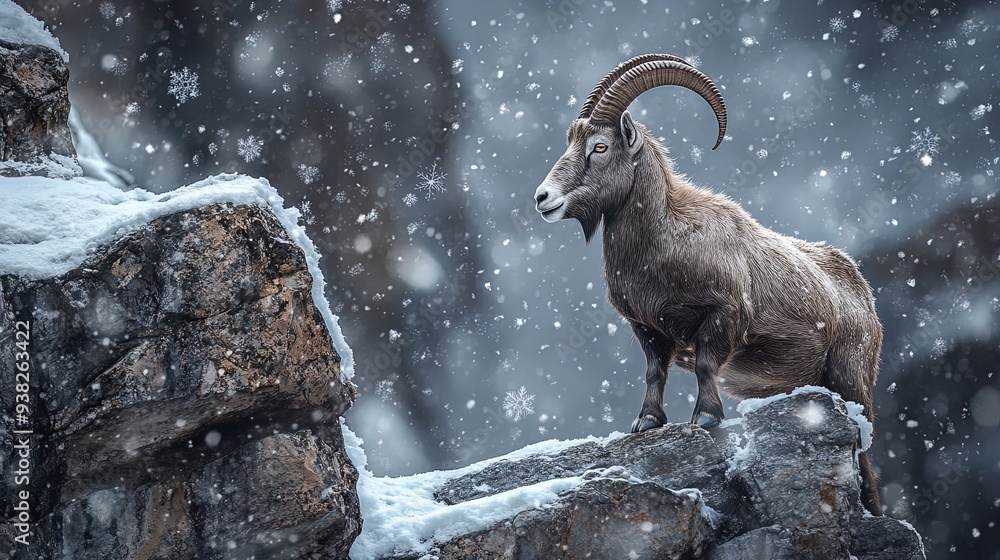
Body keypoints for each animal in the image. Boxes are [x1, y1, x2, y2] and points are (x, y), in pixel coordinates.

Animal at [533, 54, 884, 515]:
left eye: (600, 147)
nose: (543, 198)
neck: (668, 241)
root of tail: (863, 292)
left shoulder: (723, 314)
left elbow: (704, 366)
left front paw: (705, 417)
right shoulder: (647, 329)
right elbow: (654, 372)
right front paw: (646, 421)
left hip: (851, 378)